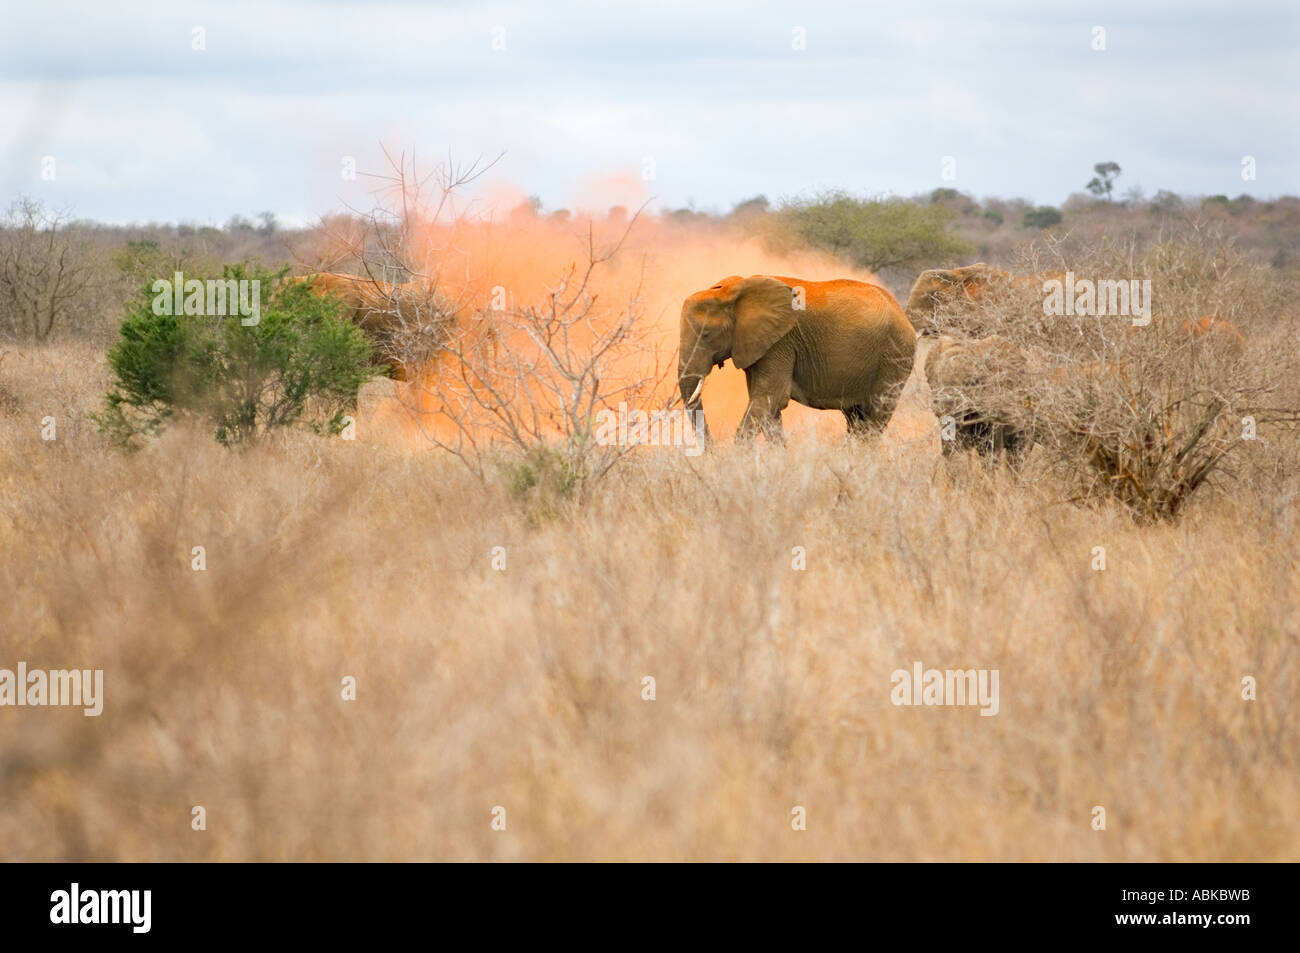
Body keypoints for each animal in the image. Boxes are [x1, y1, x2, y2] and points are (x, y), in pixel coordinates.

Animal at [678, 275, 916, 443]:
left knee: (875, 416)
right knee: (855, 419)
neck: (732, 290)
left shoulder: (780, 343)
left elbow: (769, 398)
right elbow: (768, 407)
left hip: (895, 357)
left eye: (706, 335)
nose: (711, 450)